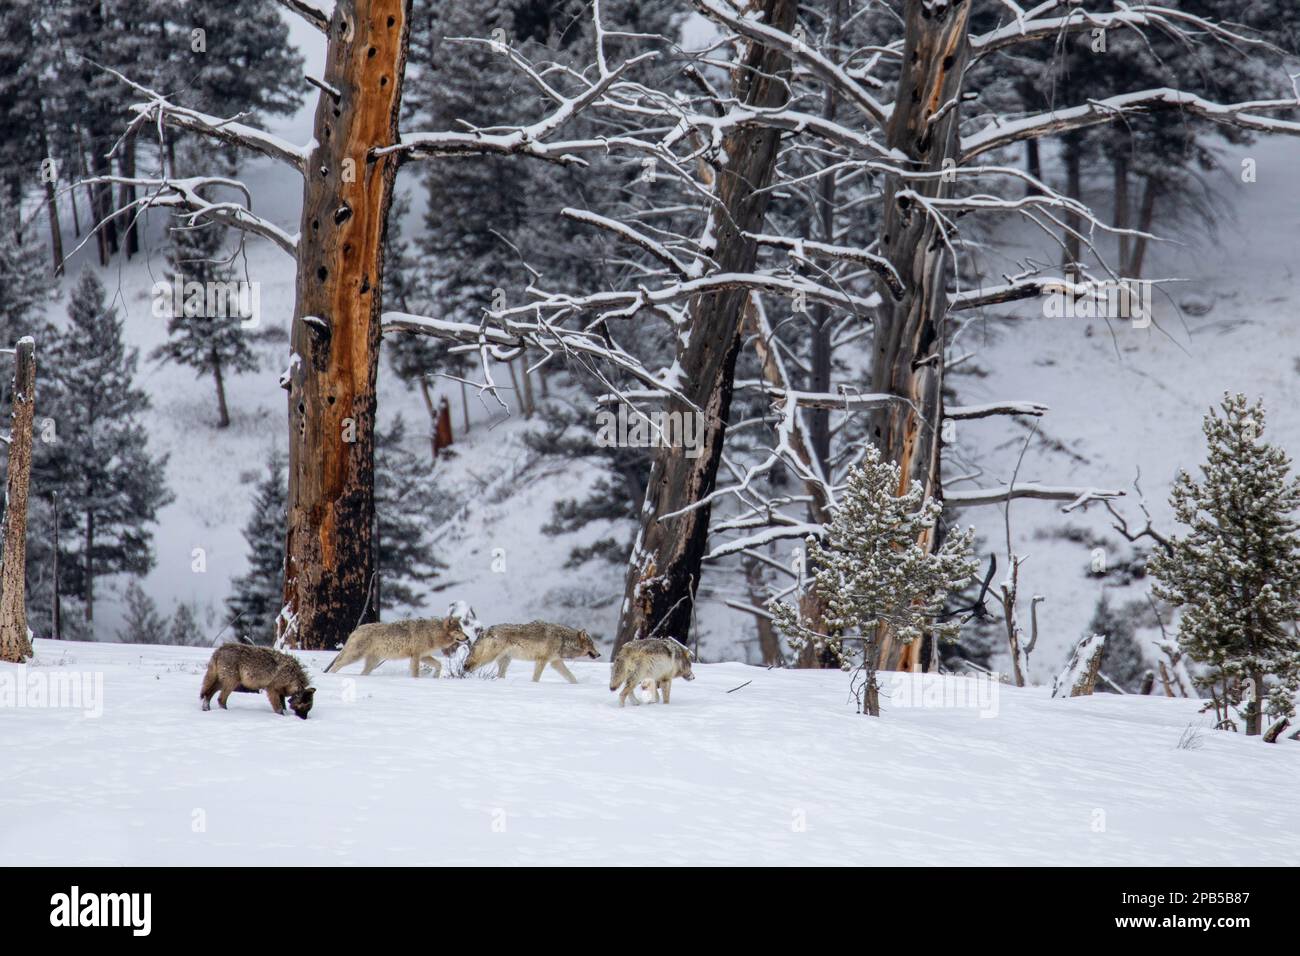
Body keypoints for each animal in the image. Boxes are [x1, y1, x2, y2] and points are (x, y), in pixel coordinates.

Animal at [325, 616, 469, 677]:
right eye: (458, 630)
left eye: (462, 629)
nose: (467, 637)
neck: (432, 633)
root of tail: (357, 629)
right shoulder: (416, 656)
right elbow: (416, 672)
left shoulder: (424, 656)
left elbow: (439, 664)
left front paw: (435, 677)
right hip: (354, 657)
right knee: (336, 665)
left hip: (371, 663)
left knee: (362, 673)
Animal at [464, 621, 600, 683]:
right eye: (592, 645)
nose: (599, 654)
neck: (564, 640)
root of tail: (485, 630)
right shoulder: (542, 660)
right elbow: (536, 677)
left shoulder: (555, 662)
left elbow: (571, 676)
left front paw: (577, 685)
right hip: (488, 658)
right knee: (469, 665)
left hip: (505, 661)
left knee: (499, 675)